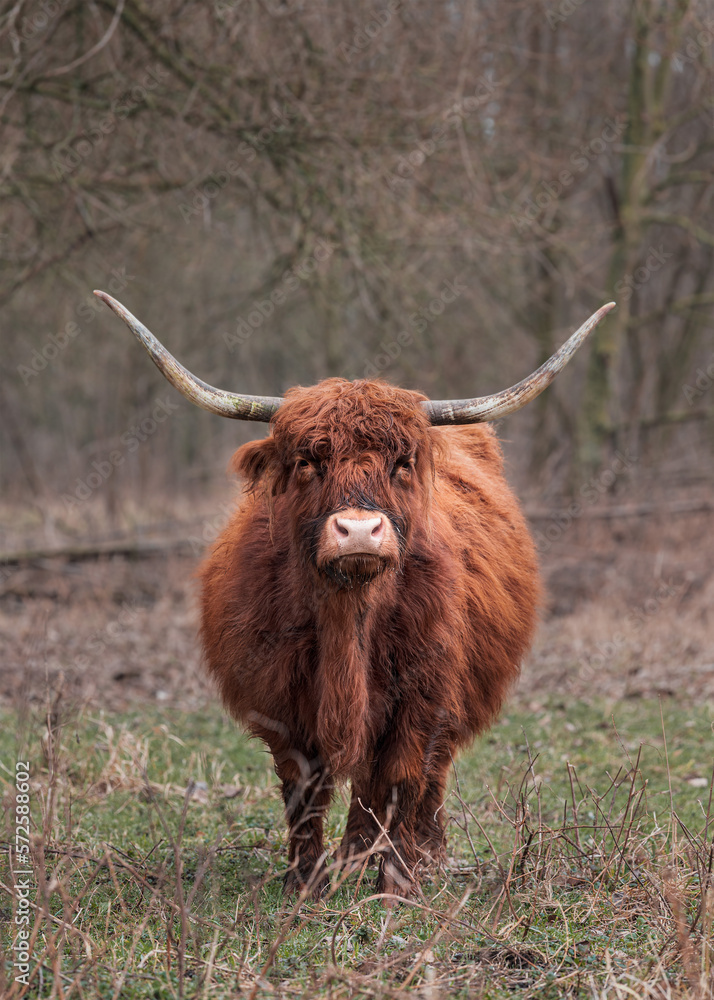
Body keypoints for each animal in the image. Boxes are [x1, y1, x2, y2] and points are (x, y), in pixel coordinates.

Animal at [95, 290, 614, 900]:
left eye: (402, 463)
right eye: (307, 462)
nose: (360, 530)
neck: (348, 617)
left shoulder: (425, 697)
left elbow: (402, 779)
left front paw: (399, 883)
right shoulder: (283, 703)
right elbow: (304, 790)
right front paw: (308, 881)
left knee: (420, 779)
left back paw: (418, 856)